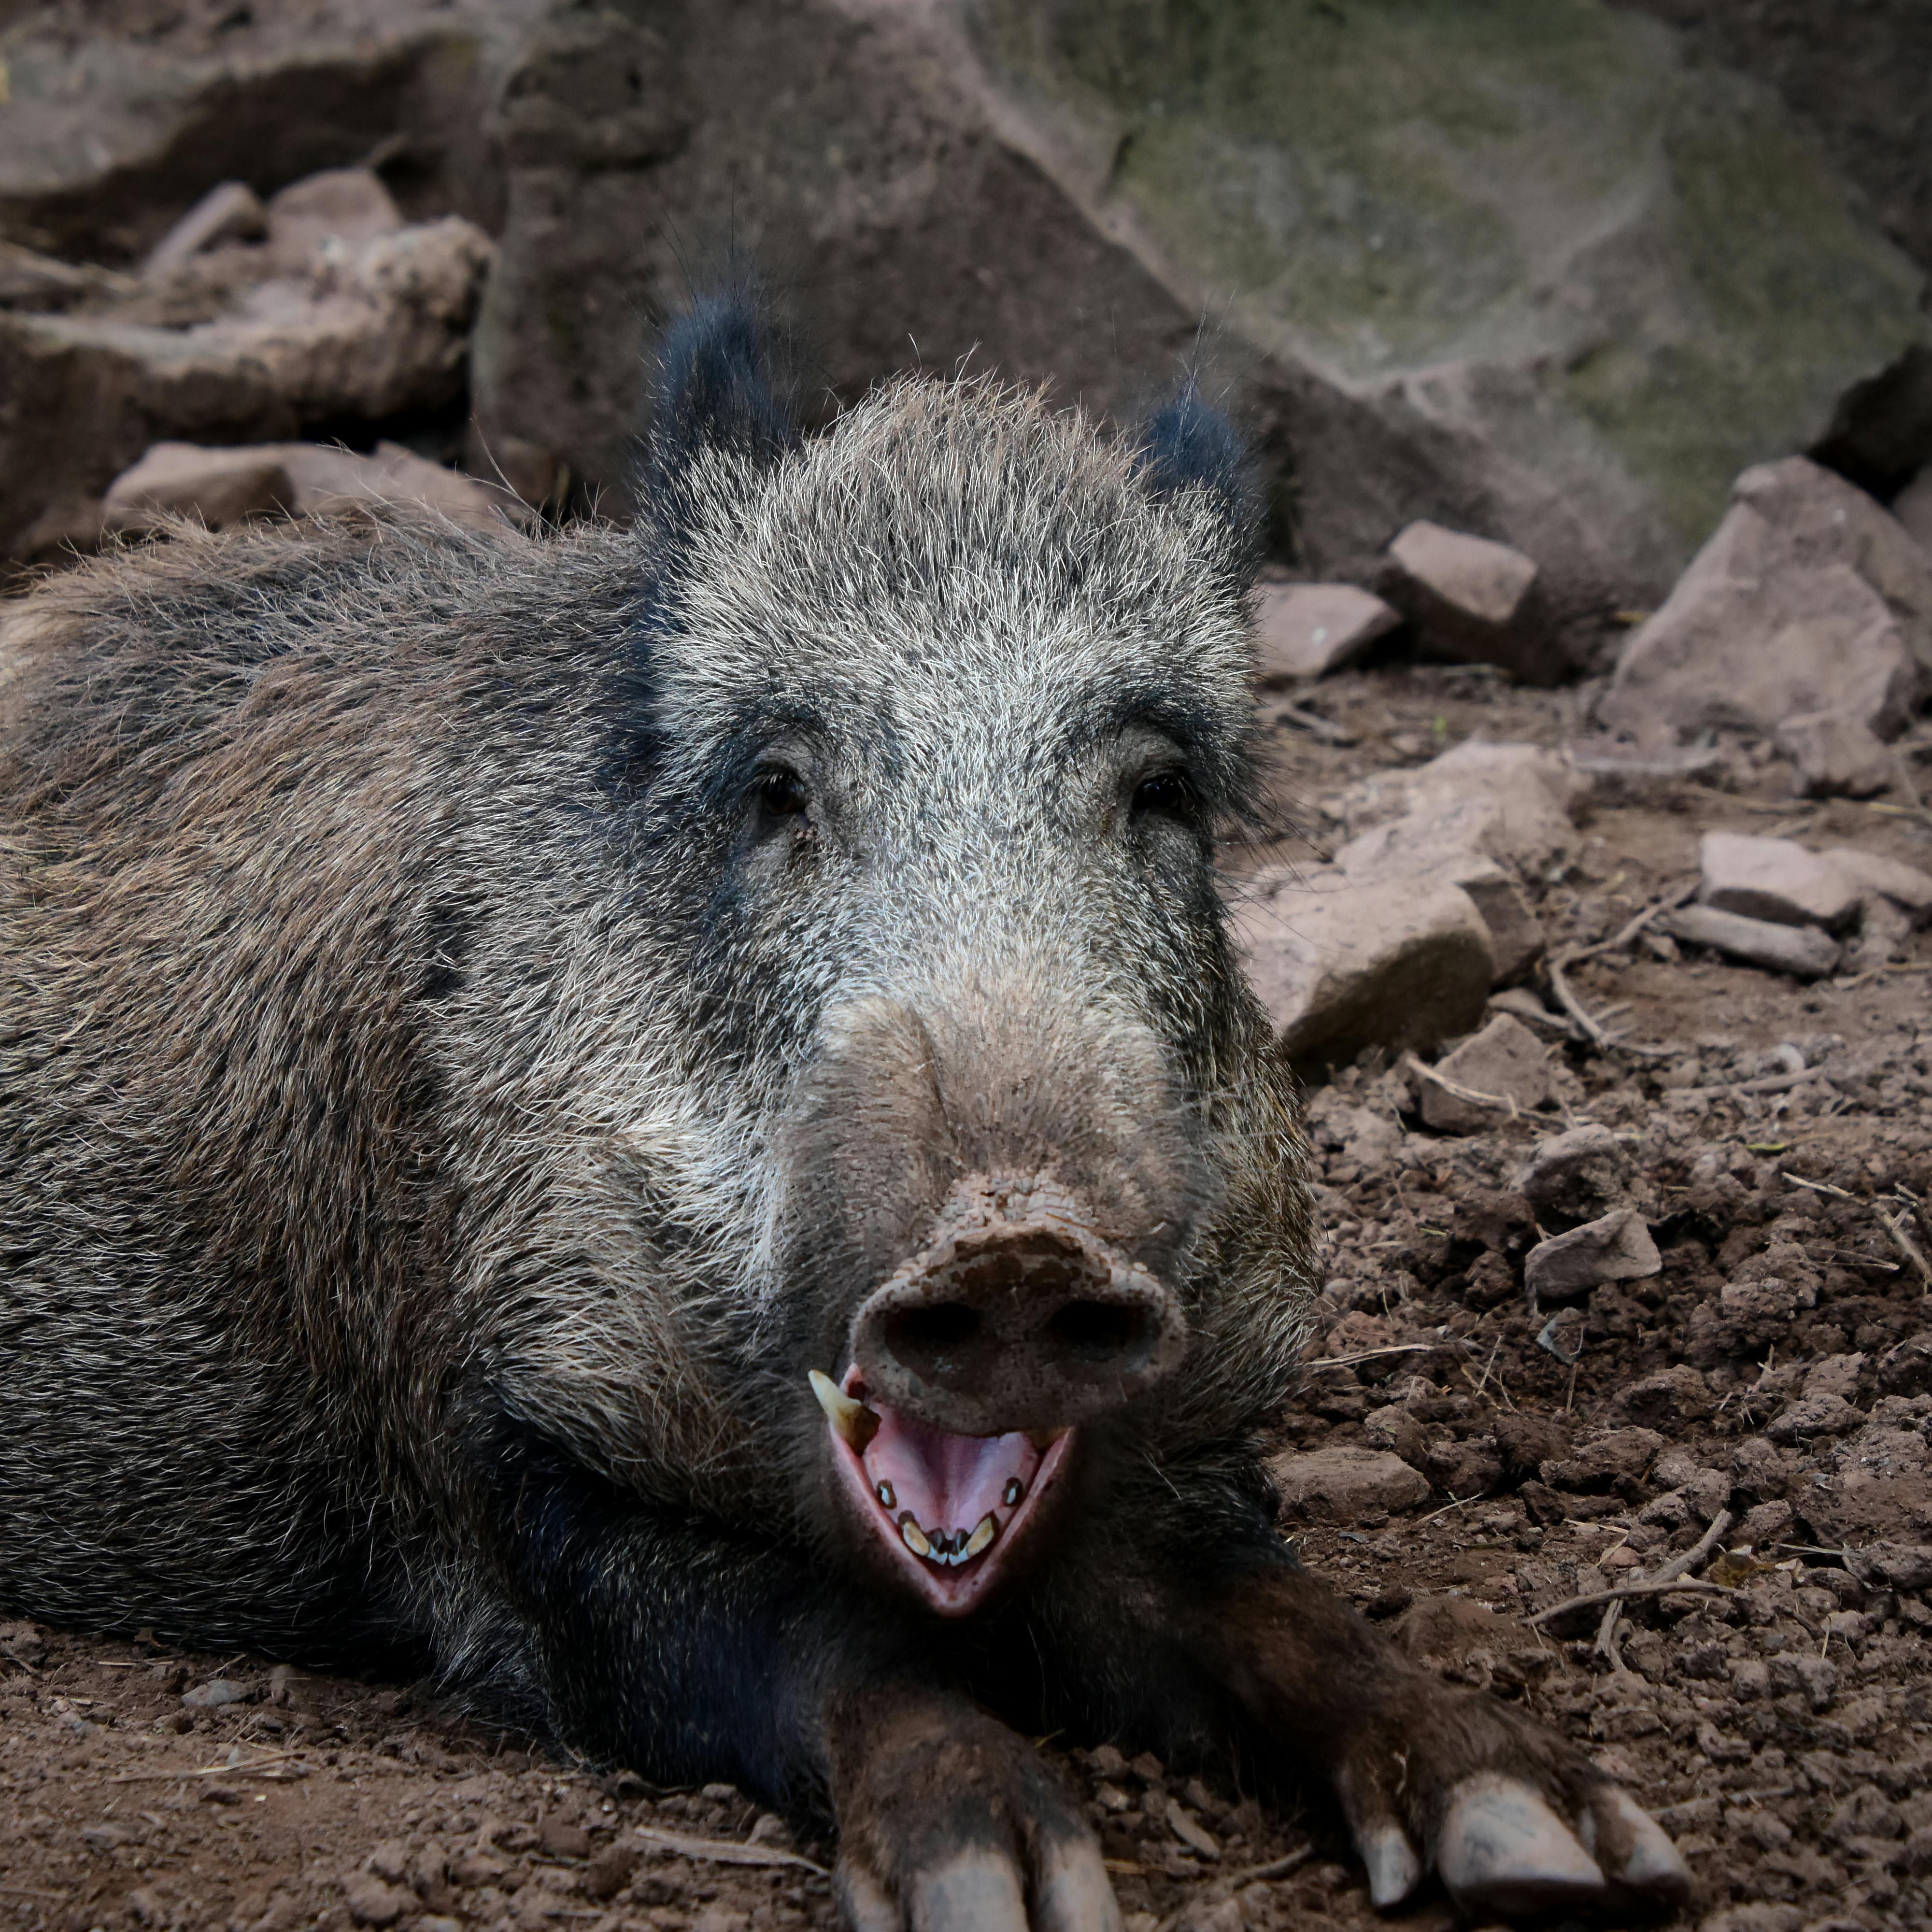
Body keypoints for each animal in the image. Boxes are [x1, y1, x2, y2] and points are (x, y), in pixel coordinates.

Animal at [0, 299, 1688, 1929]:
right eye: (777, 788)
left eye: (1160, 794)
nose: (1016, 1243)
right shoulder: (485, 1480)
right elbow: (812, 1646)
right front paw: (1001, 1887)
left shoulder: (1180, 1456)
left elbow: (1284, 1609)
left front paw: (1569, 1855)